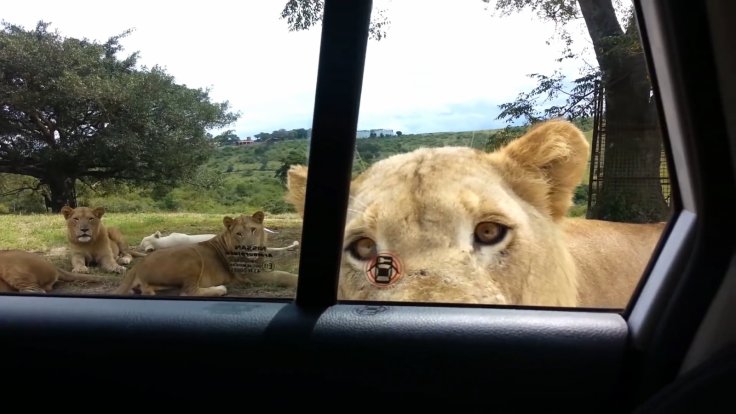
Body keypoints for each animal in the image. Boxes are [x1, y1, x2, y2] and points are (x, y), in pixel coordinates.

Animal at [113, 211, 299, 296]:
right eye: (239, 233)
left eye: (253, 230)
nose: (249, 248)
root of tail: (137, 267)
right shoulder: (251, 275)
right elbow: (283, 276)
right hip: (192, 257)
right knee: (188, 292)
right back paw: (220, 289)